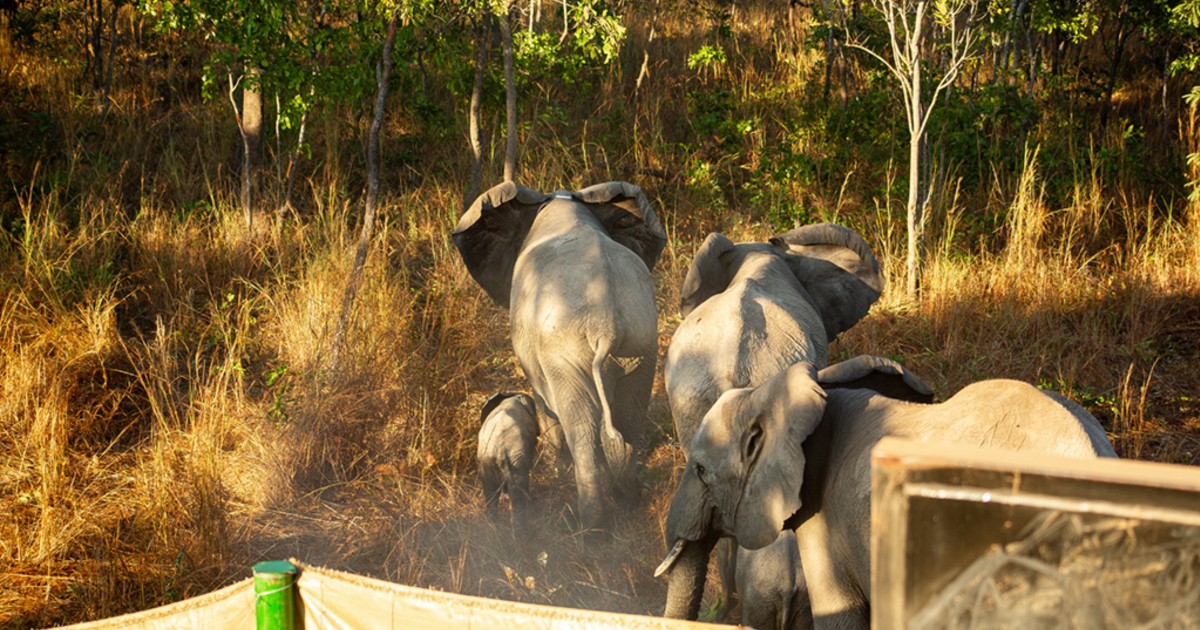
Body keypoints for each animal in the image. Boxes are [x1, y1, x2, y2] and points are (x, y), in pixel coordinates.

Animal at [477, 392, 539, 529]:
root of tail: (500, 450)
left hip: (487, 462)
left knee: (490, 494)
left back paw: (493, 528)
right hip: (516, 460)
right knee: (517, 496)